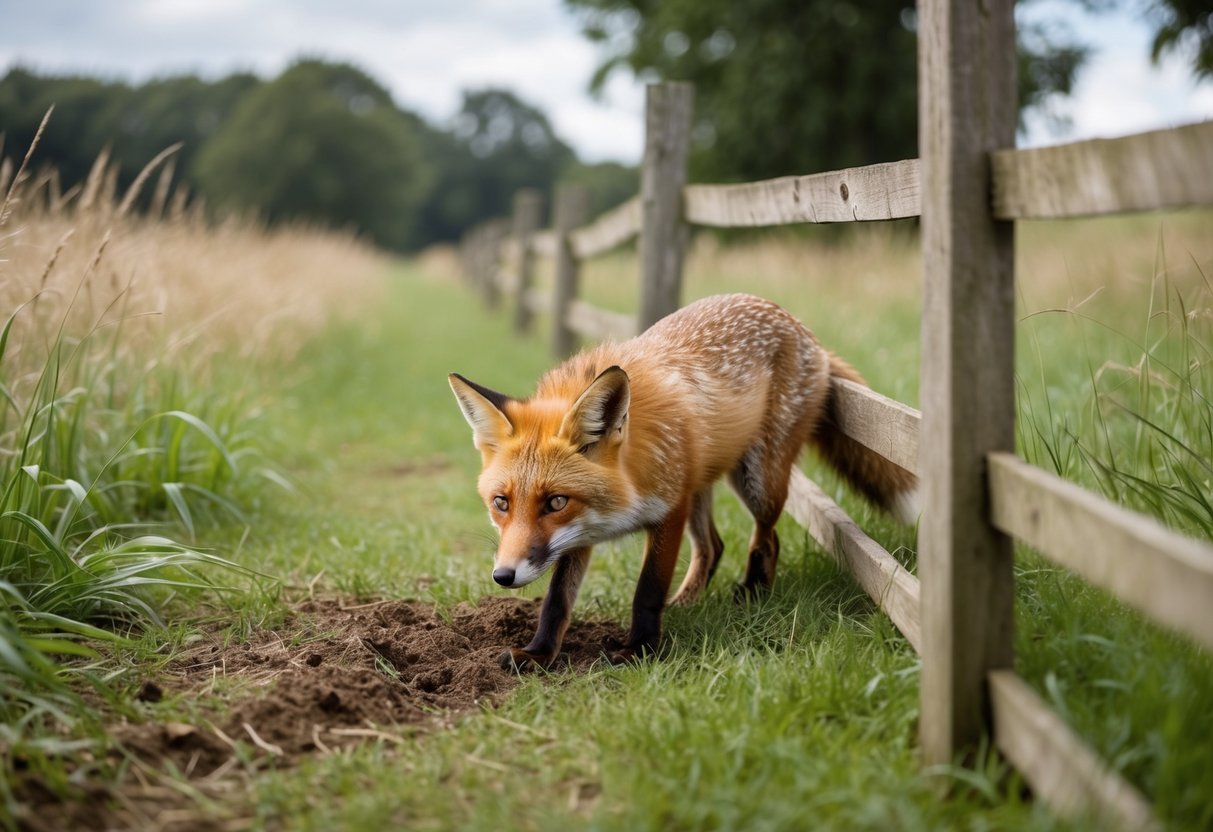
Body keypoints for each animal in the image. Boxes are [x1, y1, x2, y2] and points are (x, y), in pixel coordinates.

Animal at [449, 293, 918, 671]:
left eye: (555, 502)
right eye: (501, 503)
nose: (503, 576)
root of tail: (796, 322)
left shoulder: (667, 512)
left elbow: (647, 590)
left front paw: (639, 650)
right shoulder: (580, 536)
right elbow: (556, 600)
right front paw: (539, 653)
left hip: (756, 481)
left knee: (766, 538)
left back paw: (752, 596)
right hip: (702, 489)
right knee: (713, 547)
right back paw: (687, 604)